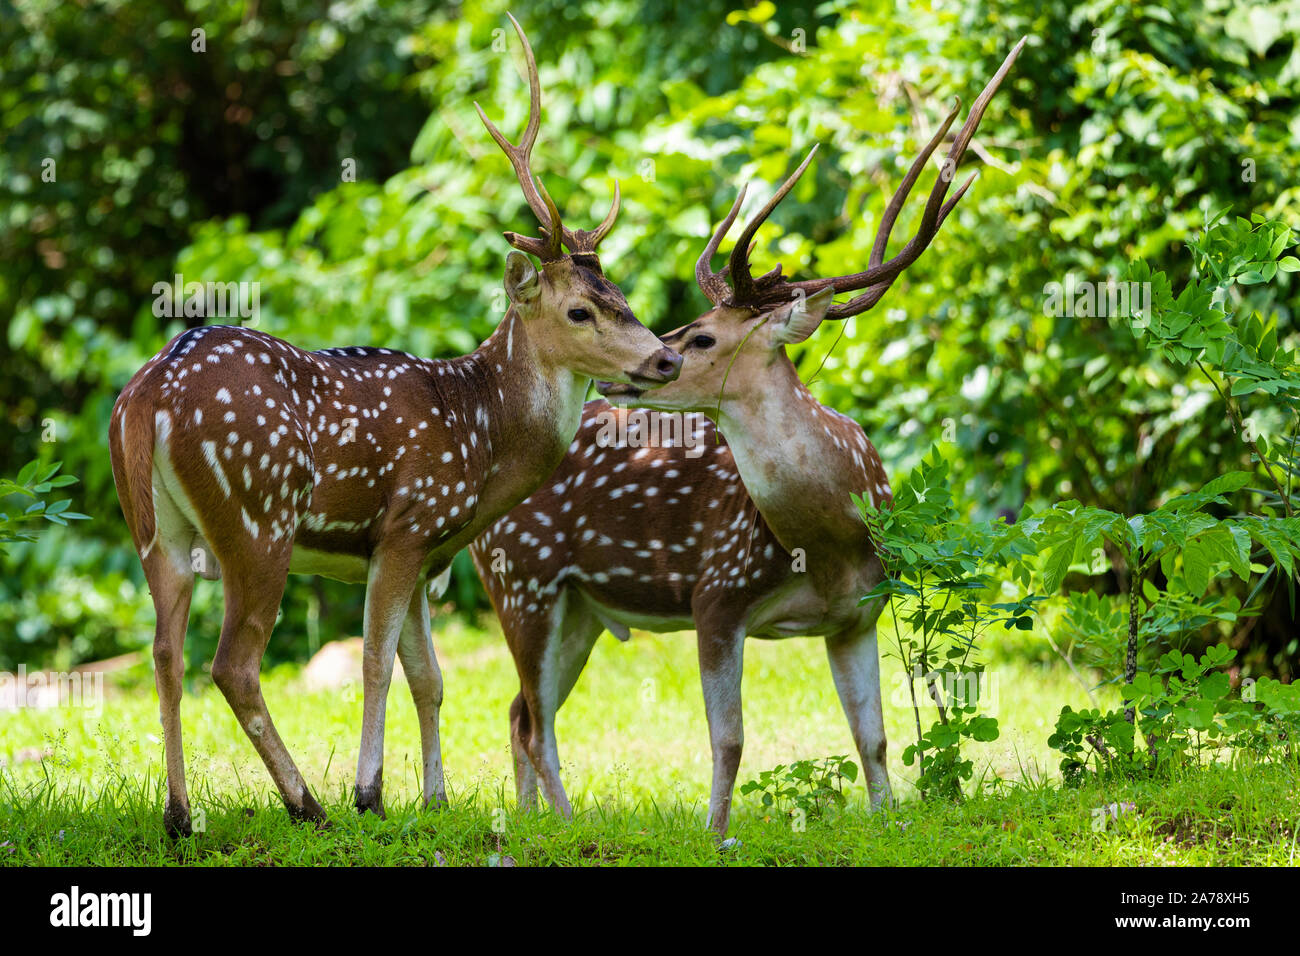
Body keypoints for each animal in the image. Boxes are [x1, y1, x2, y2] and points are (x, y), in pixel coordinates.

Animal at [108, 15, 682, 837]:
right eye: (580, 310)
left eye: (622, 295)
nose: (665, 358)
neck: (481, 435)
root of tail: (148, 394)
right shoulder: (407, 525)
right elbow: (378, 662)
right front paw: (371, 792)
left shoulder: (430, 545)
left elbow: (430, 676)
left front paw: (436, 797)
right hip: (258, 517)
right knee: (233, 663)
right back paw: (308, 804)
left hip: (158, 531)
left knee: (164, 653)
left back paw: (181, 817)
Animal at [470, 38, 1024, 838]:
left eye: (702, 335)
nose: (653, 360)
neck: (825, 539)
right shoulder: (716, 593)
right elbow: (729, 739)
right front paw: (714, 831)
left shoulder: (857, 616)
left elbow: (874, 736)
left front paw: (888, 821)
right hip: (522, 576)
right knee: (534, 721)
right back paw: (565, 824)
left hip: (577, 608)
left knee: (520, 711)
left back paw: (533, 821)